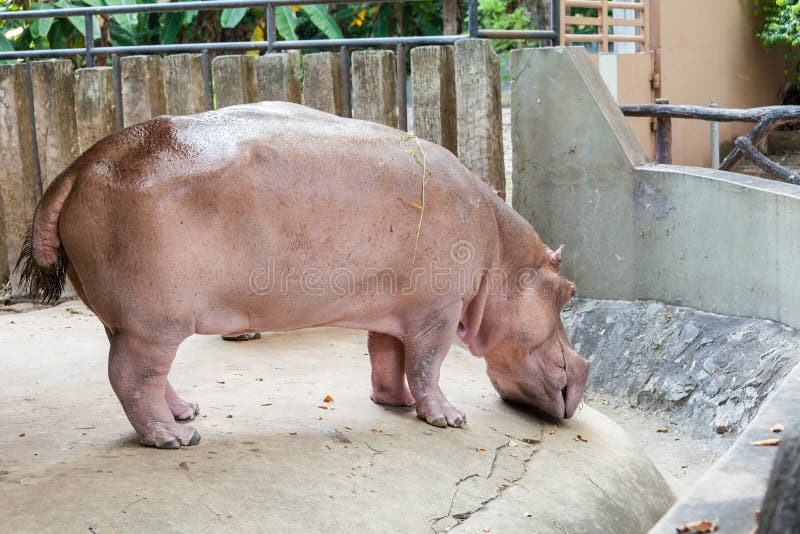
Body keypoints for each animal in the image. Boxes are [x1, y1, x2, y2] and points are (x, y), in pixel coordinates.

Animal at [17, 102, 589, 449]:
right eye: (569, 291)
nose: (584, 368)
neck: (503, 256)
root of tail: (77, 167)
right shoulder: (438, 313)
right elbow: (429, 365)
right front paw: (449, 418)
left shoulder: (396, 307)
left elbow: (388, 356)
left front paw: (396, 404)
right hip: (152, 323)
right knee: (130, 377)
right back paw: (173, 439)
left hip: (131, 321)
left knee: (148, 375)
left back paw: (185, 413)